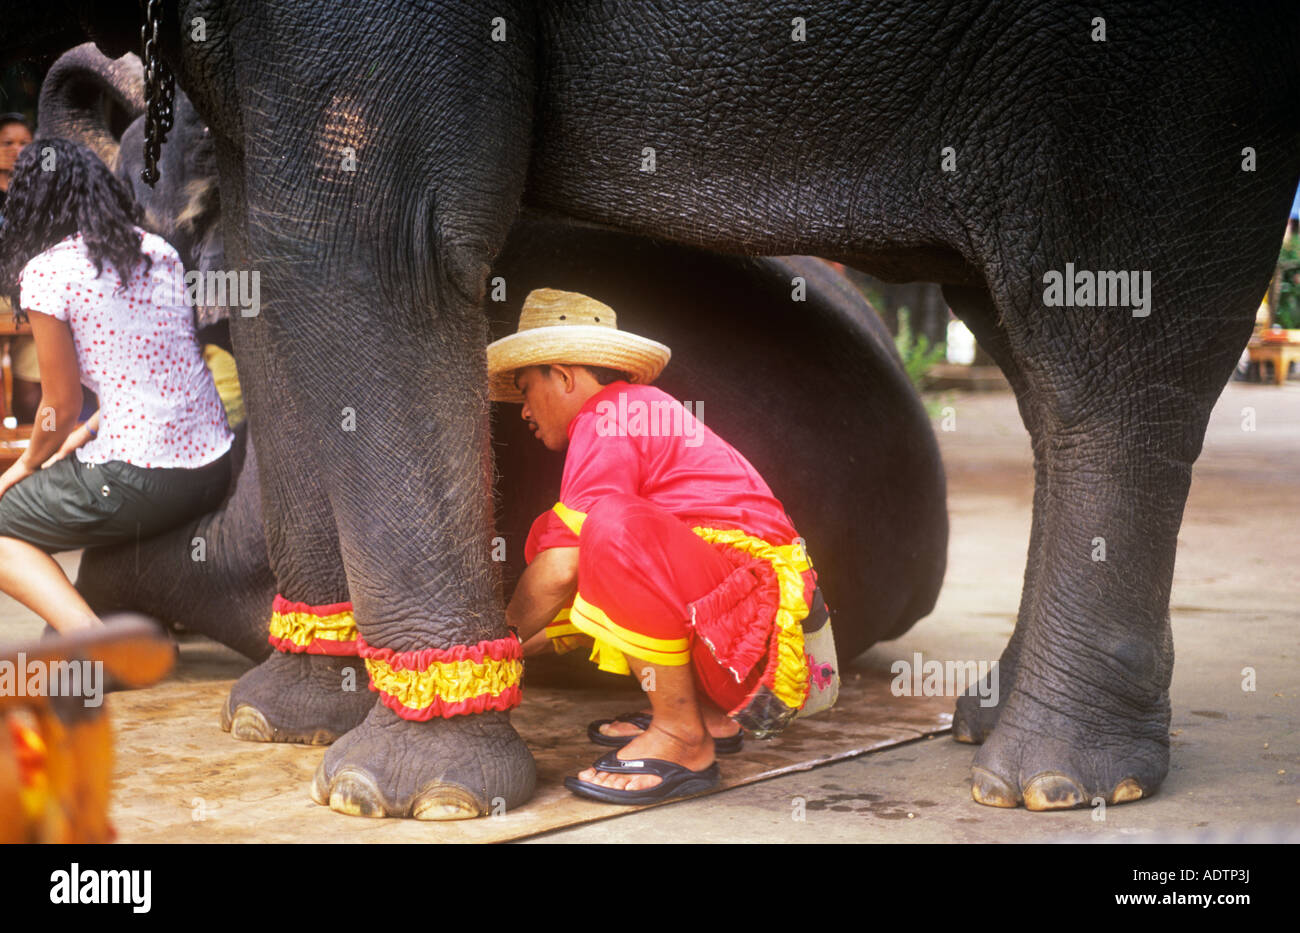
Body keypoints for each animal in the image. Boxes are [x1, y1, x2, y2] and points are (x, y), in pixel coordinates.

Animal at [7, 2, 1298, 819]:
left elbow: (379, 239)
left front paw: (402, 792)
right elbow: (282, 283)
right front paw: (278, 723)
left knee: (1108, 321)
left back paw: (1047, 780)